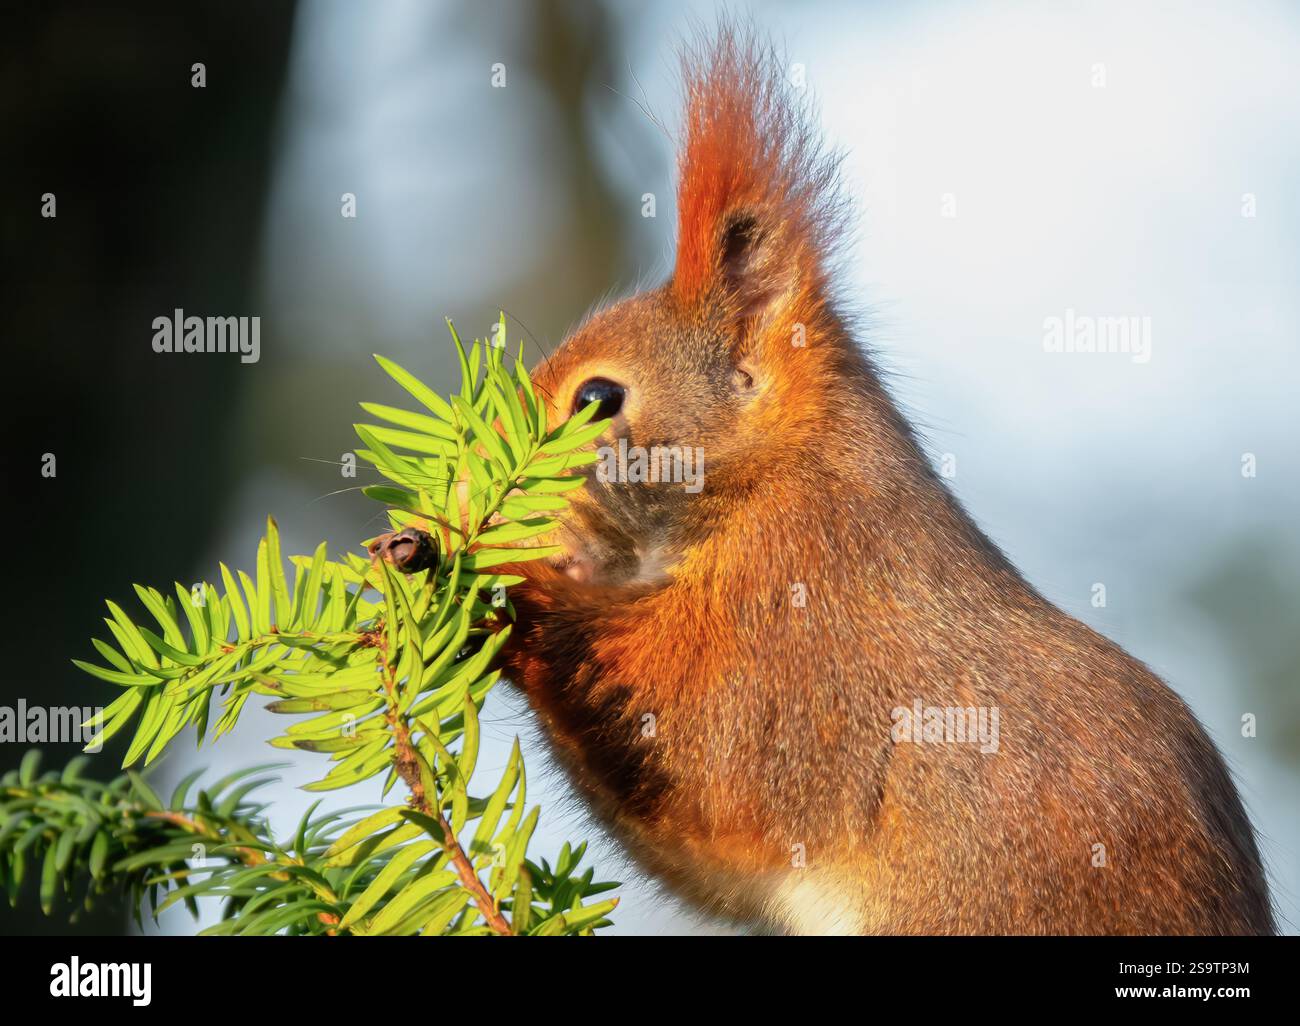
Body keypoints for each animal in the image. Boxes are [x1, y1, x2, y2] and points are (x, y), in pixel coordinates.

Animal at [494, 26, 1275, 935]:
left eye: (597, 401)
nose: (482, 488)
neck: (777, 481)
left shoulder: (802, 628)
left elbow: (705, 747)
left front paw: (507, 575)